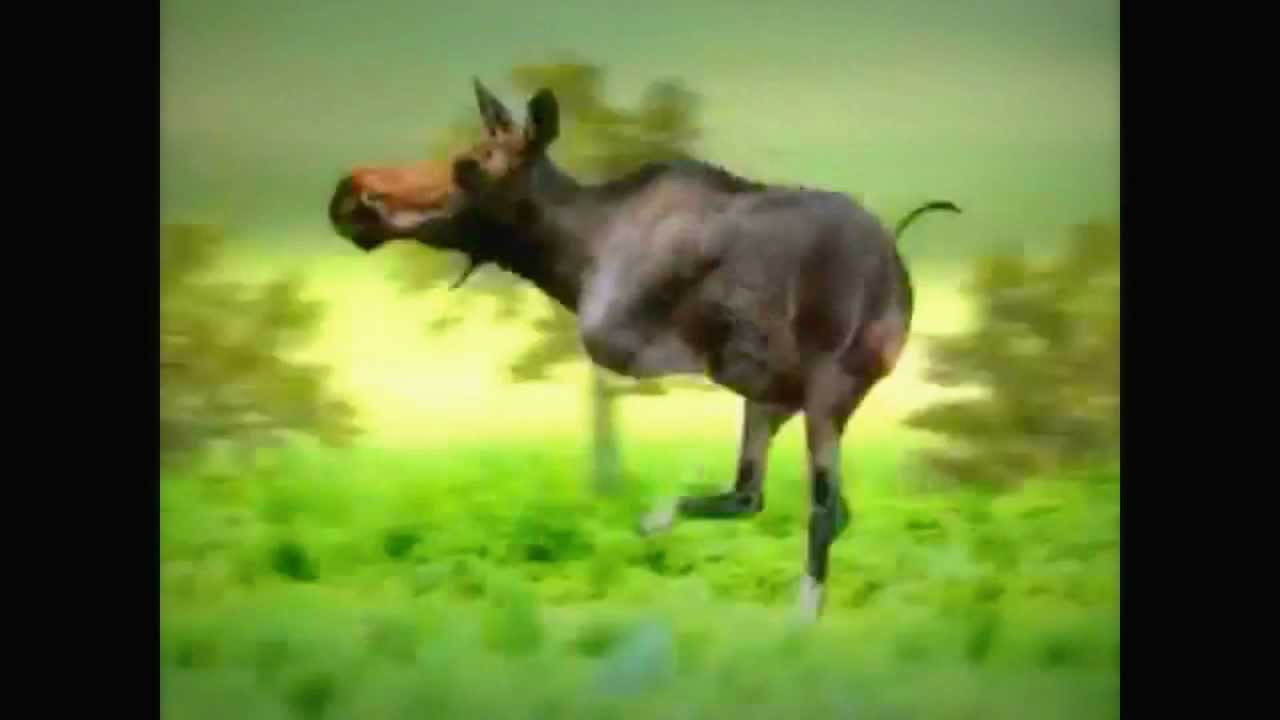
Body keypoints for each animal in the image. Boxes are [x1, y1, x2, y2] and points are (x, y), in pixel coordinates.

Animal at [327, 80, 961, 621]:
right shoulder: (764, 389)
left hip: (828, 390)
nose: (350, 192)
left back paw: (797, 618)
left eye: (472, 163)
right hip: (783, 402)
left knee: (819, 507)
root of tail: (898, 255)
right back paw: (658, 522)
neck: (578, 256)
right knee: (762, 496)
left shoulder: (653, 352)